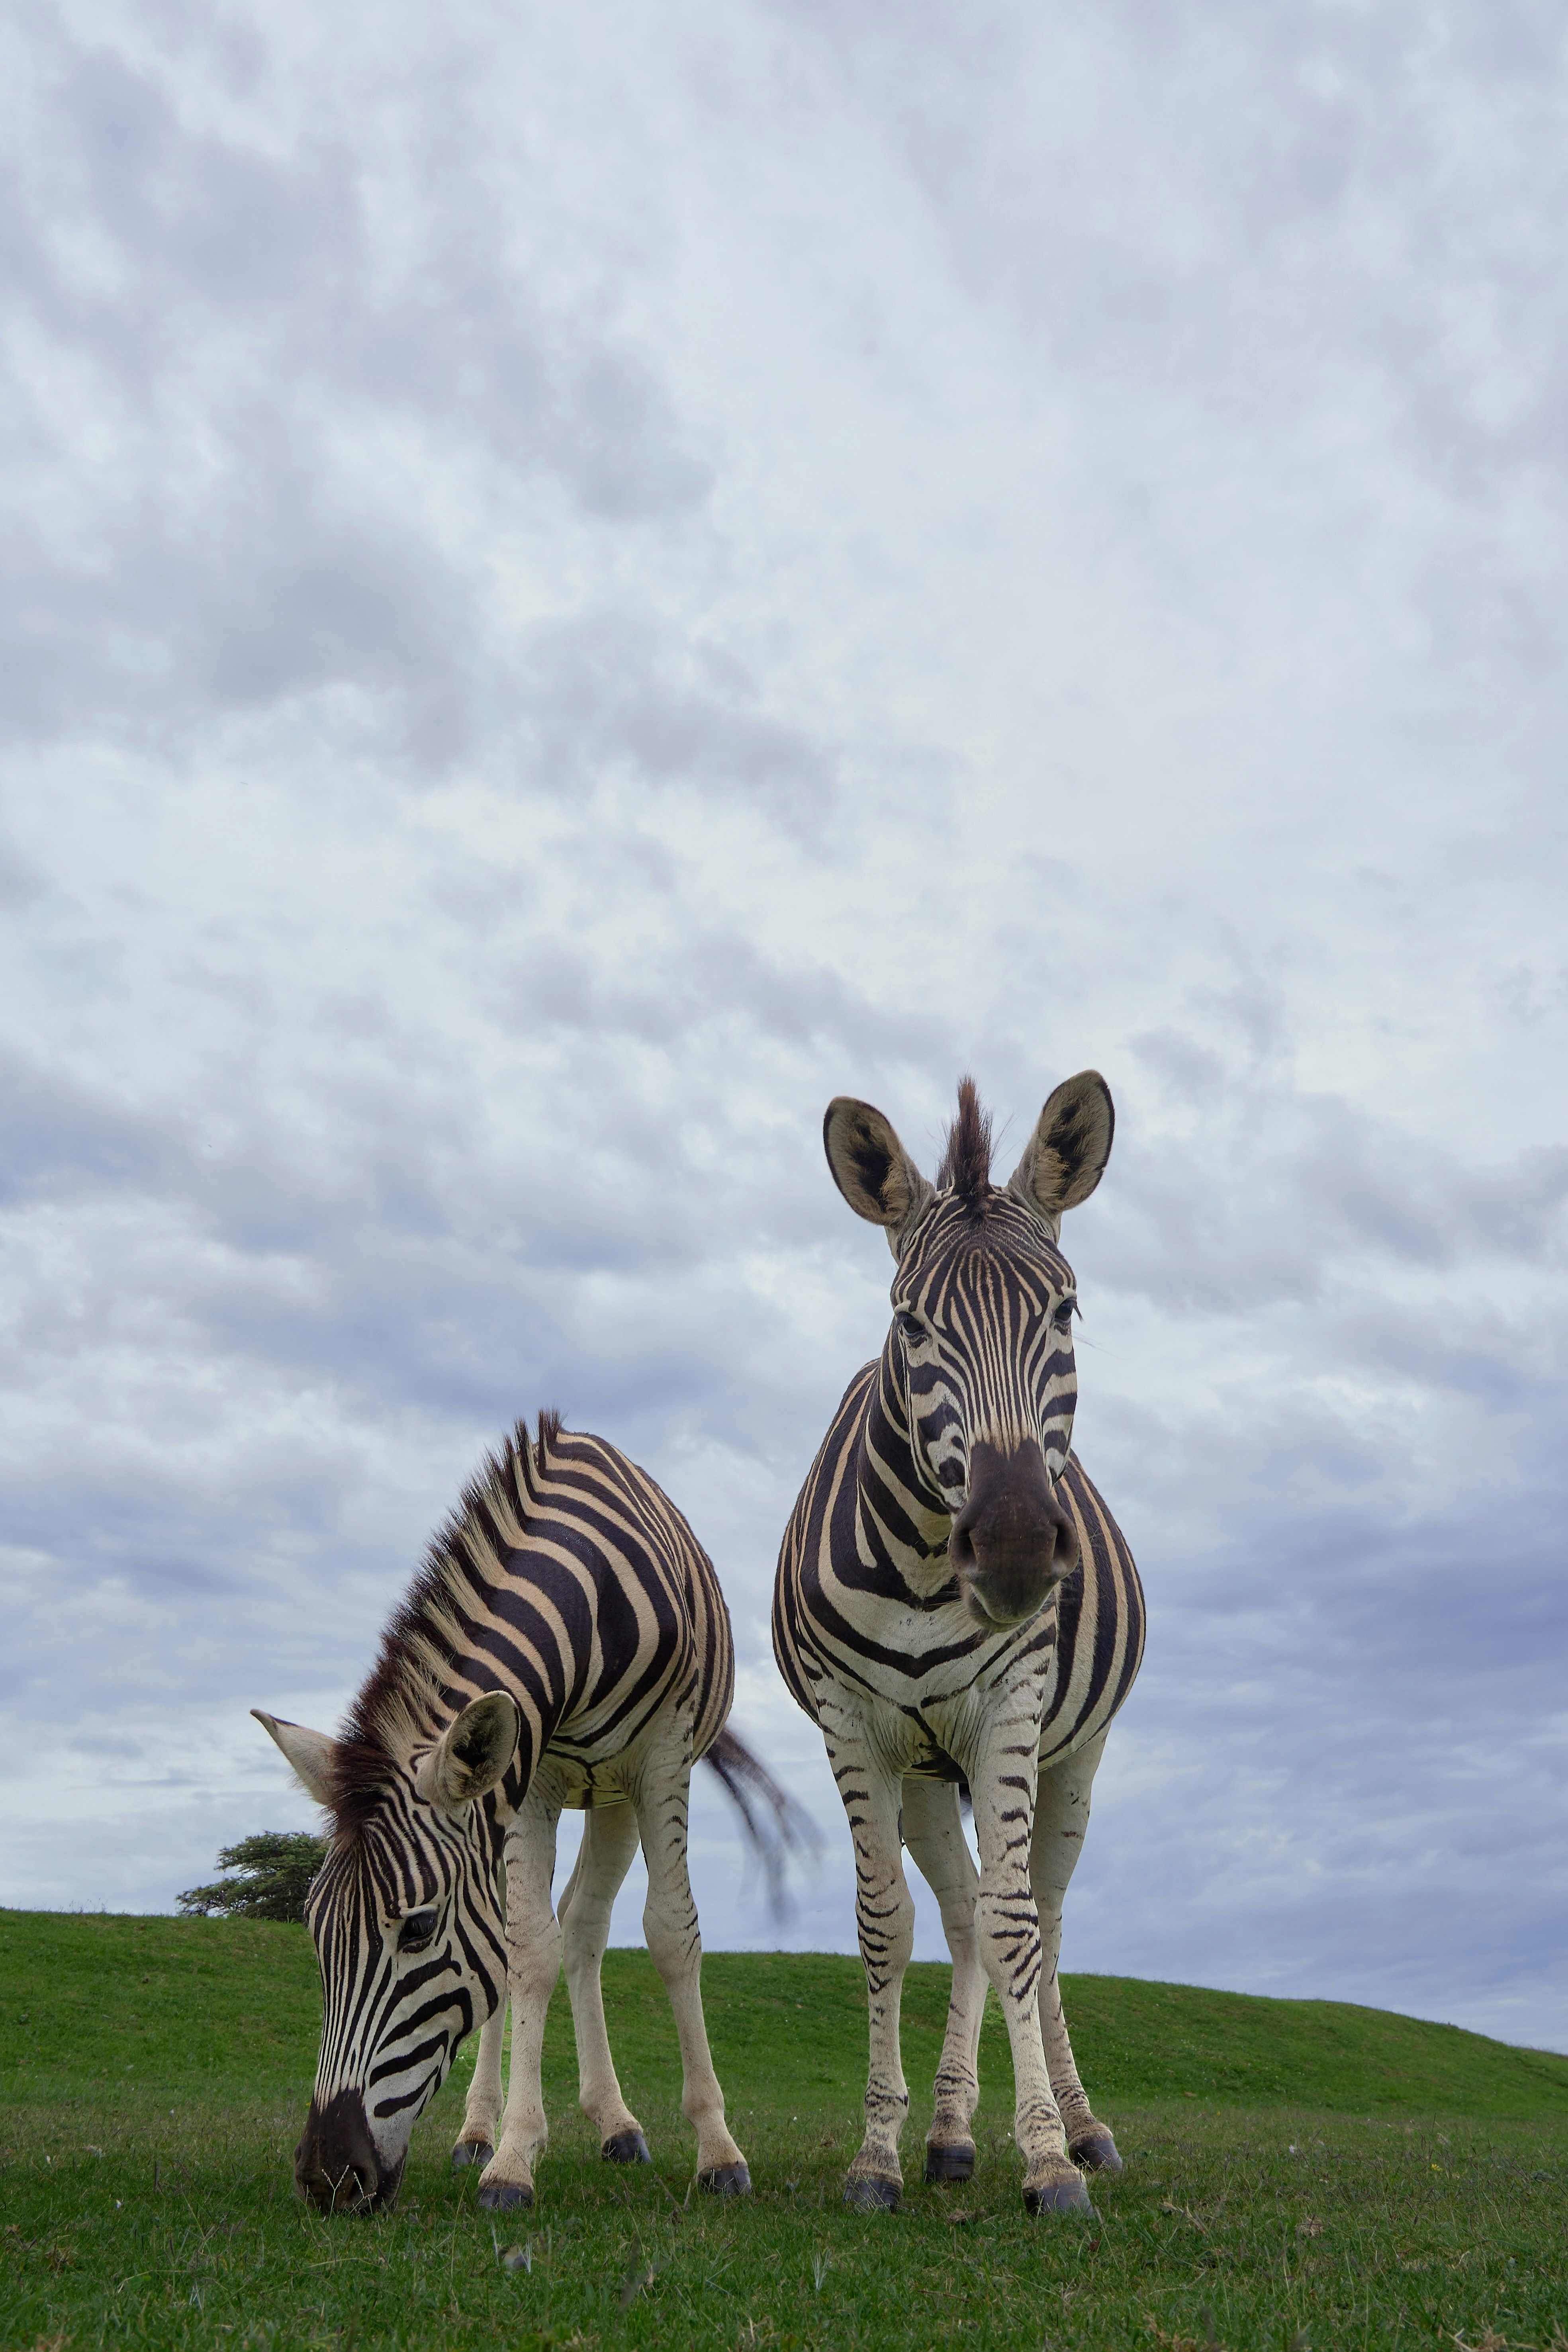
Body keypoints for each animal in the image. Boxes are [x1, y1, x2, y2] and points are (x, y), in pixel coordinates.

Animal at [255, 1410, 801, 2214]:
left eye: (417, 1928)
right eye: (314, 1928)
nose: (326, 2178)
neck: (586, 1603)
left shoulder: (661, 1761)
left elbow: (671, 1935)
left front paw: (717, 2150)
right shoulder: (527, 1779)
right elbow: (523, 1952)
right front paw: (512, 2154)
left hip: (613, 1796)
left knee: (585, 1926)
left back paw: (616, 2123)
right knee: (536, 1937)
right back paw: (481, 2129)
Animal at [773, 1074, 1145, 2216]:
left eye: (1064, 1309)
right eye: (909, 1321)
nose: (1017, 1542)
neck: (927, 1573)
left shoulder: (1013, 1706)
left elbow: (1018, 1922)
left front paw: (1048, 2159)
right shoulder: (853, 1724)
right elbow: (886, 1923)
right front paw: (878, 2153)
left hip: (1073, 1755)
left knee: (1042, 1917)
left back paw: (1081, 2125)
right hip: (928, 1768)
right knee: (960, 1912)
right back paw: (945, 2134)